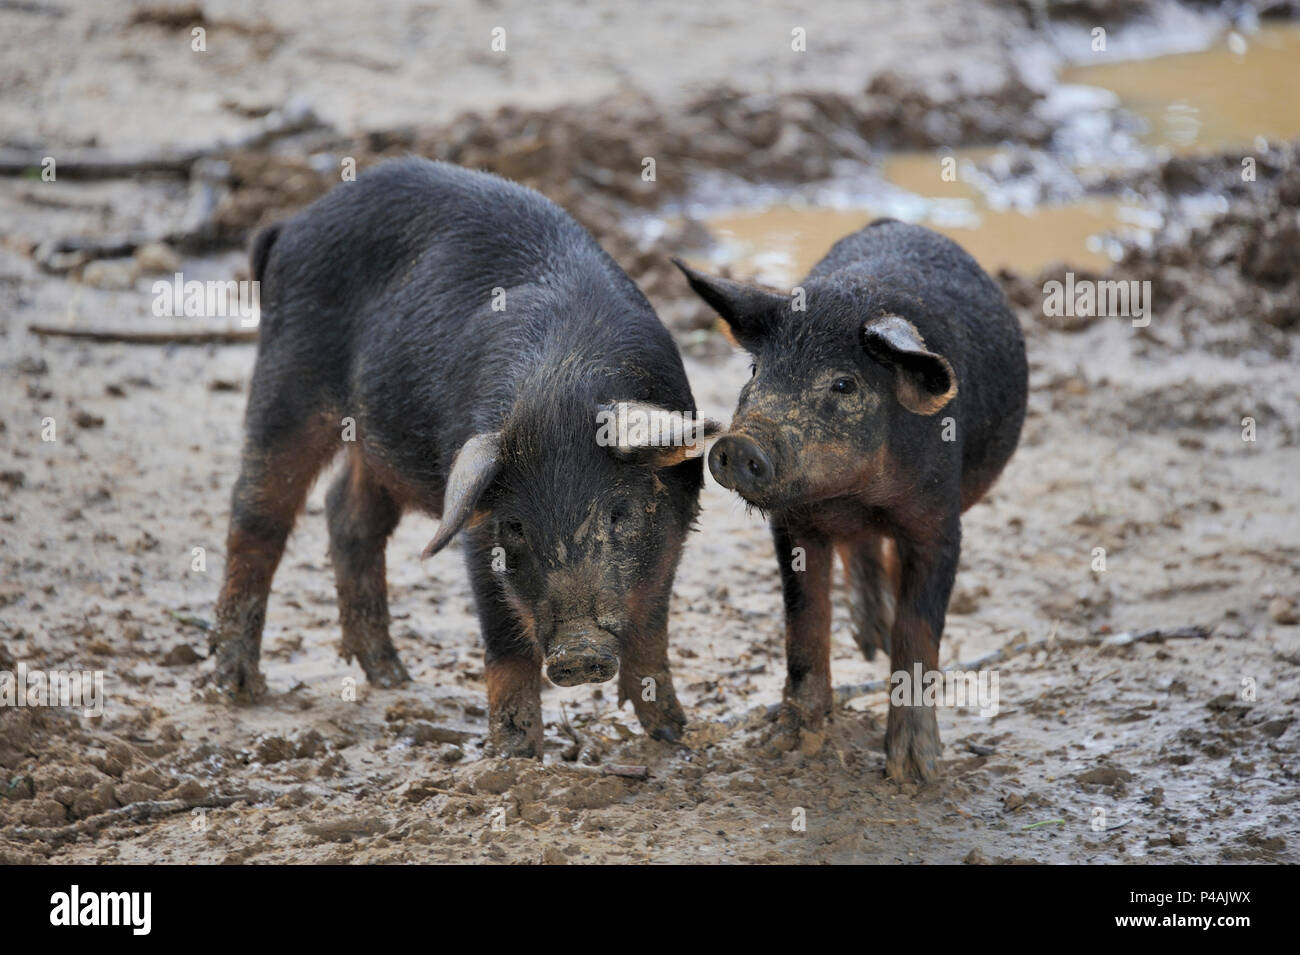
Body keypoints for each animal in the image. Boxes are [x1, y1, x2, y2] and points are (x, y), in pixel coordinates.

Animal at [210, 157, 717, 756]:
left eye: (619, 513)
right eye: (516, 526)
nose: (577, 652)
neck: (563, 382)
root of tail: (293, 223)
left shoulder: (673, 528)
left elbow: (651, 627)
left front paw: (675, 736)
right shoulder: (476, 524)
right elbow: (506, 643)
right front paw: (515, 756)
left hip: (377, 434)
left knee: (347, 514)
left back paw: (391, 675)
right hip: (287, 381)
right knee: (255, 515)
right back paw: (237, 685)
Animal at [675, 218, 1027, 780]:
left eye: (843, 384)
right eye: (754, 372)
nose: (738, 443)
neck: (854, 495)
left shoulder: (939, 523)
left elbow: (919, 630)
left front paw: (915, 772)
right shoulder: (792, 526)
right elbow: (804, 622)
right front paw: (788, 744)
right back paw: (868, 640)